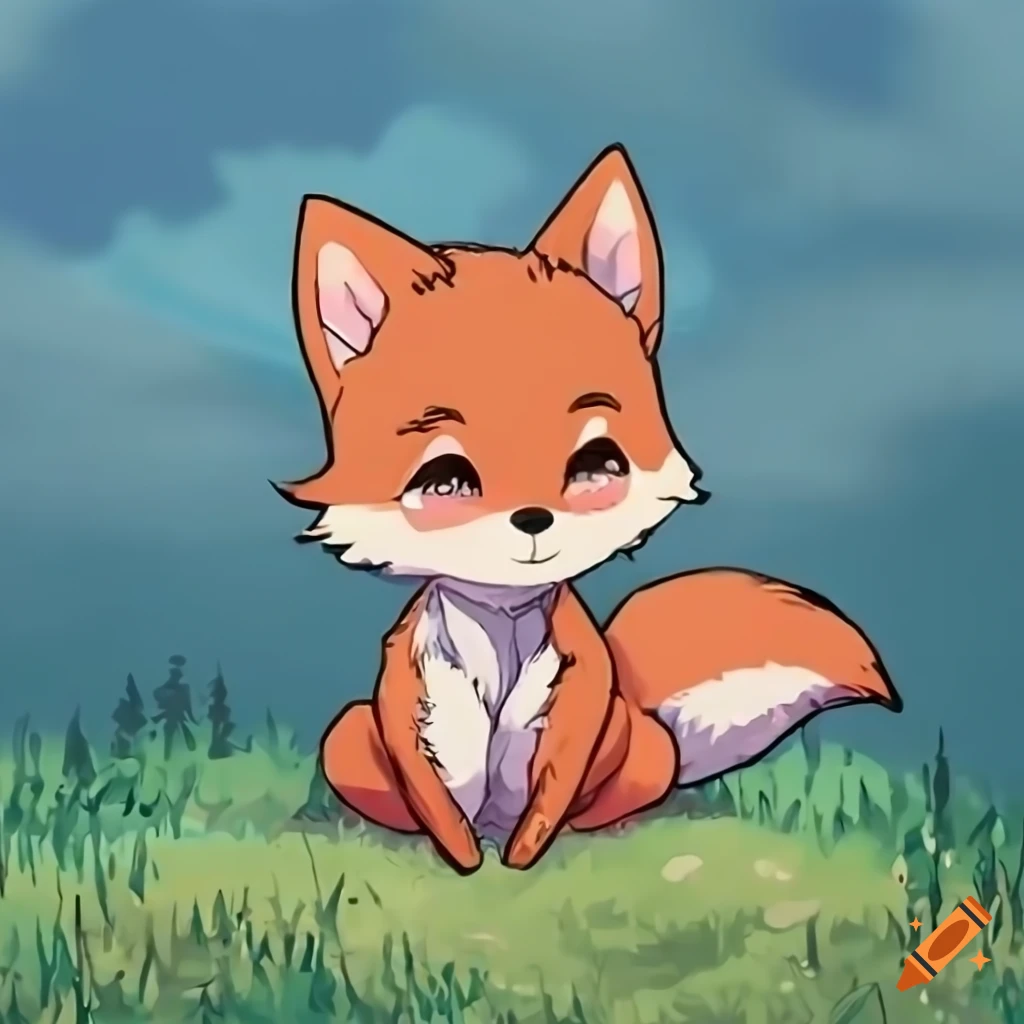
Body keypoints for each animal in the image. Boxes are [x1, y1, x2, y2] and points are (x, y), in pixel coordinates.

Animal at [275, 143, 902, 874]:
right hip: (345, 734)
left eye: (598, 464)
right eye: (446, 480)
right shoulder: (405, 706)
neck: (501, 630)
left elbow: (548, 803)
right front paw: (468, 866)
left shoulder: (580, 704)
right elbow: (441, 813)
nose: (533, 520)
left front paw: (520, 864)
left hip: (649, 749)